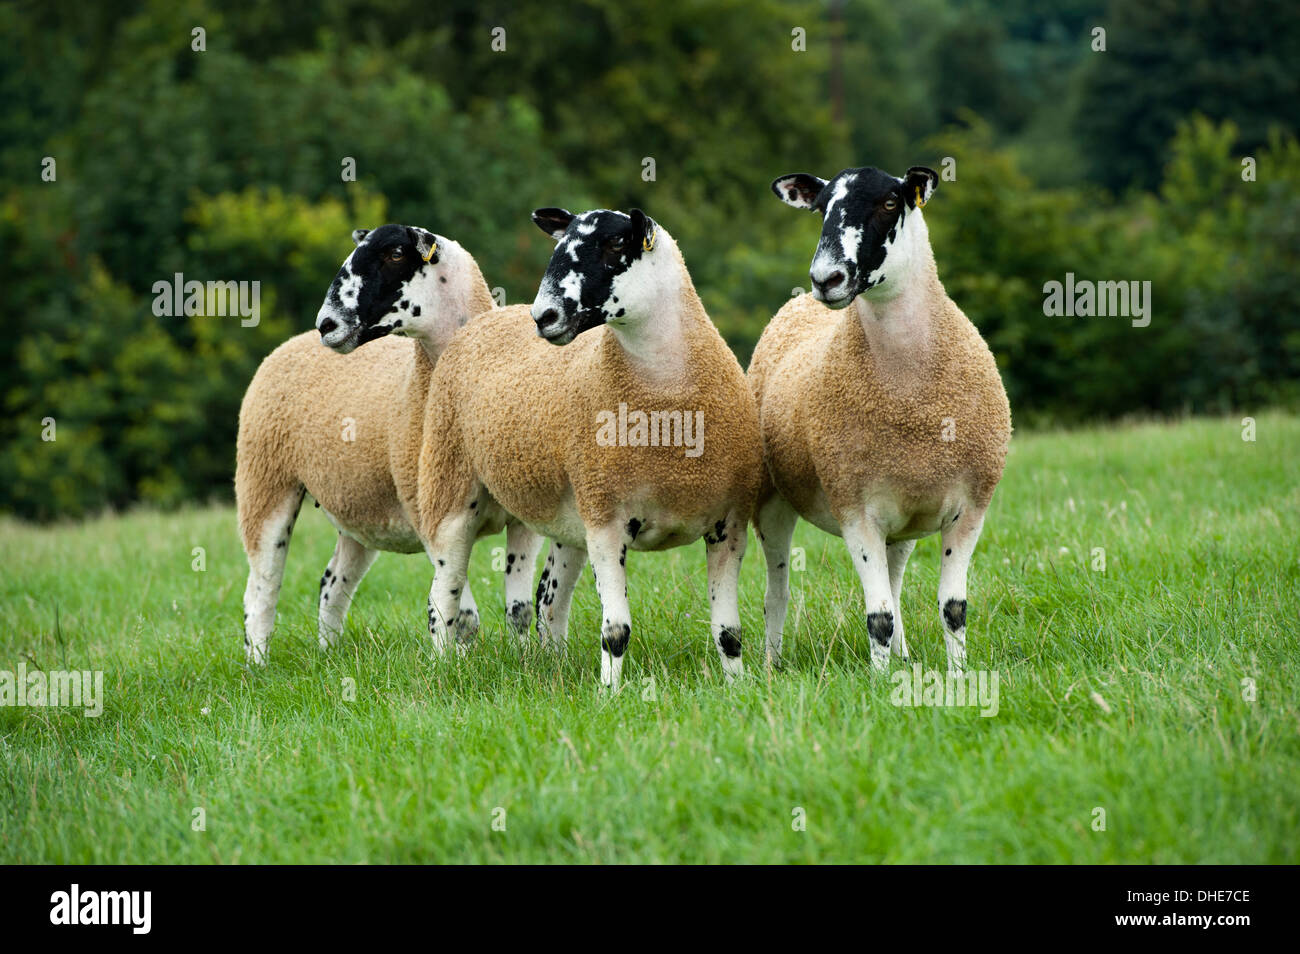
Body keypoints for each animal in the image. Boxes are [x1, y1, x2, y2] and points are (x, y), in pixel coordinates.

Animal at [235, 225, 545, 664]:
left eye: (395, 254)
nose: (326, 324)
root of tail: (291, 343)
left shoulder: (523, 516)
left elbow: (518, 609)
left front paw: (525, 659)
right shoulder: (426, 507)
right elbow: (460, 611)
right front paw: (455, 664)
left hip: (355, 507)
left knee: (332, 583)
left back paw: (330, 654)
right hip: (264, 478)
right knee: (262, 588)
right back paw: (259, 665)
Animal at [413, 208, 763, 689]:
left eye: (615, 245)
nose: (543, 316)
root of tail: (486, 319)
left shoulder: (729, 522)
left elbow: (729, 631)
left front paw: (738, 687)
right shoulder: (607, 520)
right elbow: (616, 630)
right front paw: (610, 693)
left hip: (570, 516)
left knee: (548, 601)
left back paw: (552, 668)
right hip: (448, 481)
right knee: (441, 598)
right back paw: (442, 670)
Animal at [750, 165, 1011, 673]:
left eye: (890, 203)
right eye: (821, 208)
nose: (826, 278)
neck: (912, 398)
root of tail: (796, 304)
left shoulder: (971, 508)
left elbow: (952, 608)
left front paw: (959, 674)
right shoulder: (855, 510)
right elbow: (878, 617)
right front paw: (879, 681)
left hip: (904, 517)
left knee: (894, 580)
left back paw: (905, 657)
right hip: (772, 500)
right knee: (777, 592)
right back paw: (771, 666)